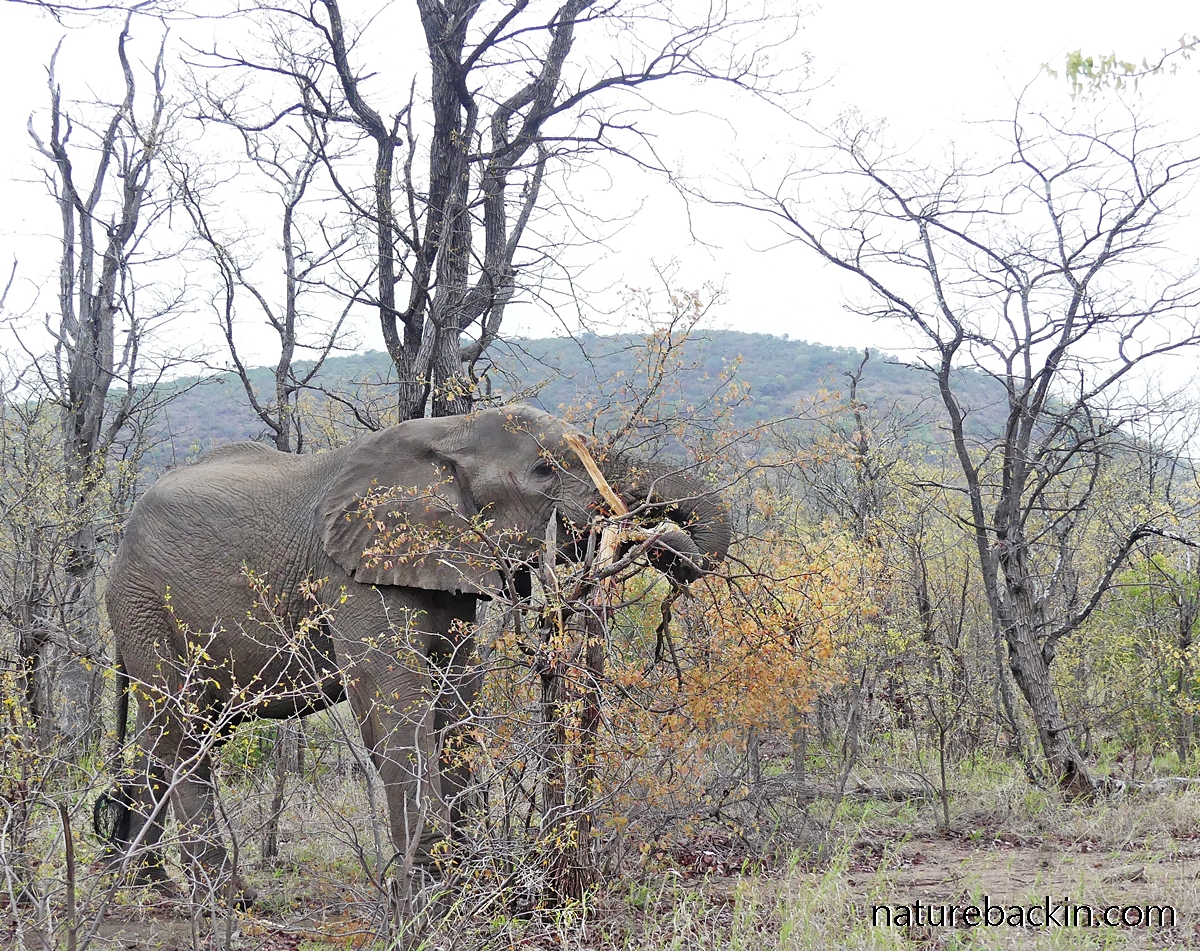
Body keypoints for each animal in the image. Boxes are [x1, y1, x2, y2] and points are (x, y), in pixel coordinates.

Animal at [95, 404, 729, 904]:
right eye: (545, 470)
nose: (657, 542)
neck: (447, 434)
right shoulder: (351, 570)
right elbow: (394, 693)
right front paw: (427, 897)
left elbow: (459, 691)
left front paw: (469, 884)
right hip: (144, 601)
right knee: (181, 727)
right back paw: (228, 901)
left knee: (169, 734)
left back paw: (144, 886)